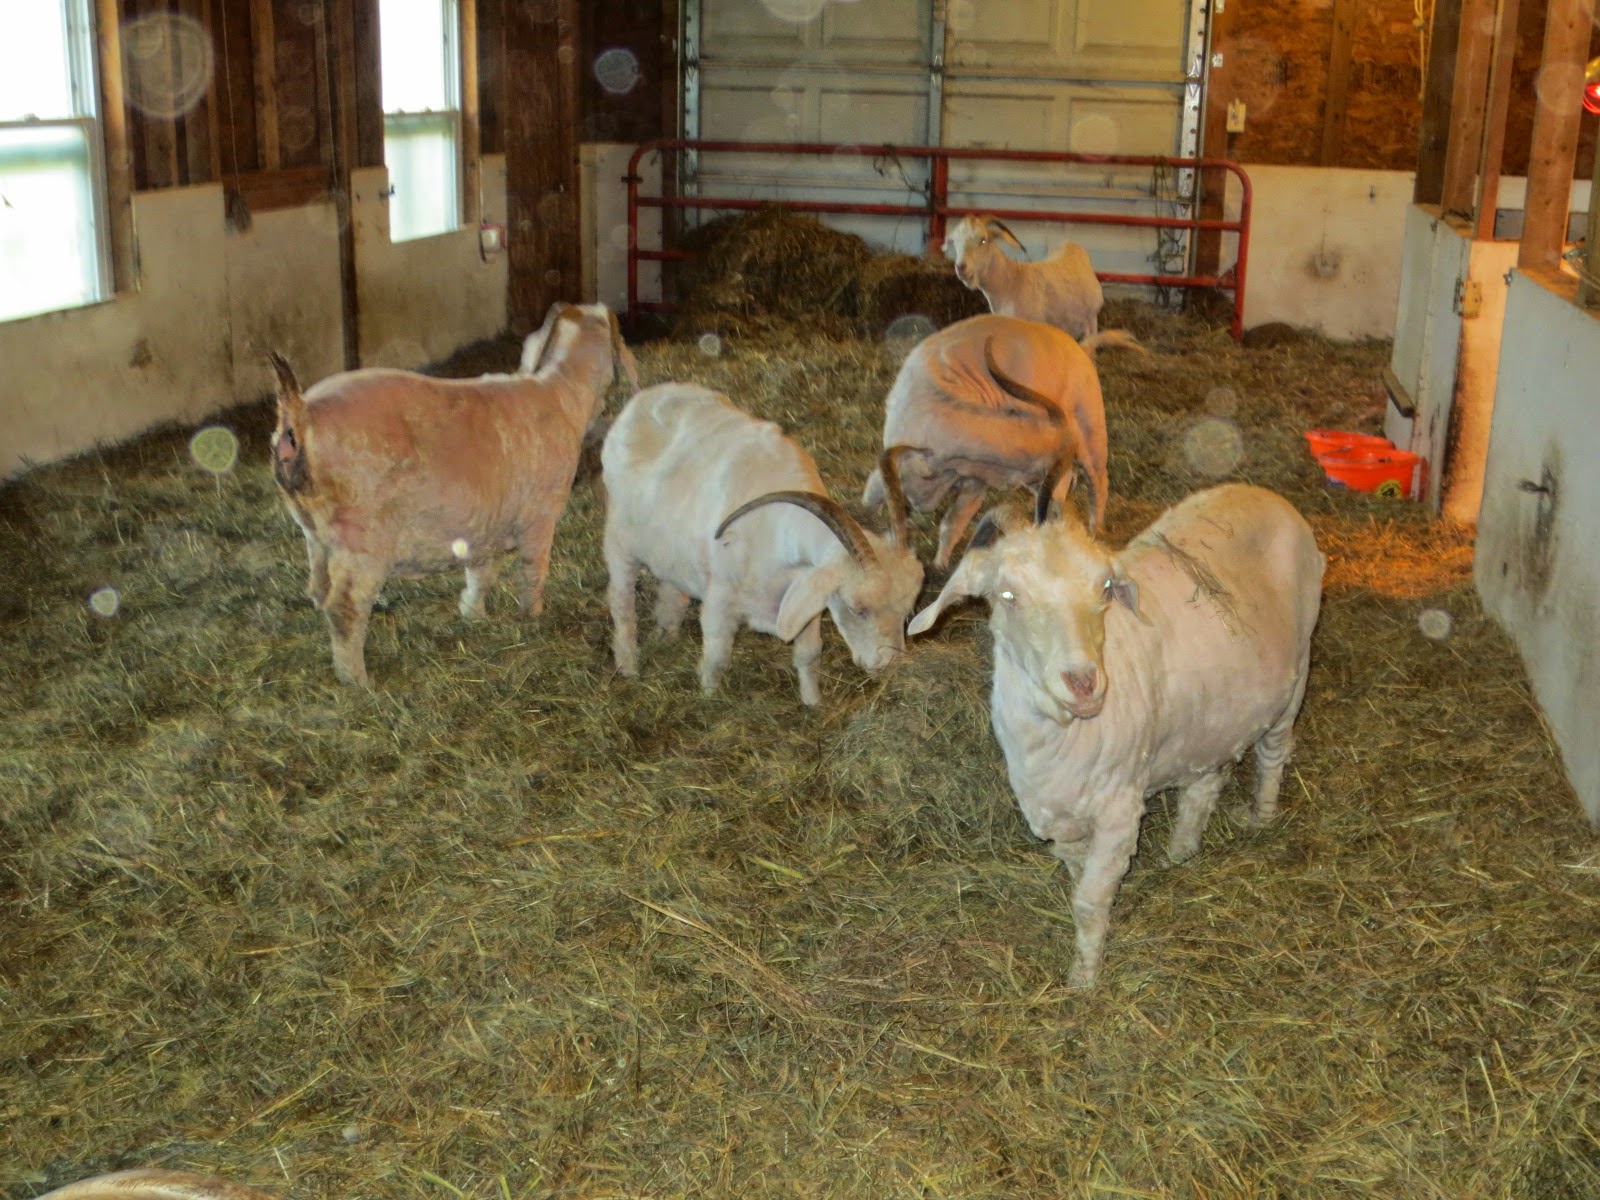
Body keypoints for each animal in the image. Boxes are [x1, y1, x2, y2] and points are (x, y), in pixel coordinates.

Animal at [270, 301, 637, 686]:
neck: (563, 391)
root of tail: (299, 412)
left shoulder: (484, 522)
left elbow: (481, 572)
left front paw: (473, 614)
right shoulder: (539, 514)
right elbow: (533, 571)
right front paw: (532, 618)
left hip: (315, 533)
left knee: (319, 591)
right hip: (362, 537)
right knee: (345, 607)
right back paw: (357, 680)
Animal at [601, 383, 924, 706]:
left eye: (908, 610)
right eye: (857, 609)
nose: (889, 666)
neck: (775, 532)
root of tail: (644, 397)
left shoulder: (803, 597)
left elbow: (809, 654)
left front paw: (813, 704)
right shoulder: (720, 600)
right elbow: (716, 660)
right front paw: (708, 698)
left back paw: (667, 630)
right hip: (619, 541)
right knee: (621, 602)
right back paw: (628, 665)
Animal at [861, 313, 1108, 569]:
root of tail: (1077, 347)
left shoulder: (975, 481)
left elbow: (951, 525)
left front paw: (940, 566)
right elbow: (870, 497)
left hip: (1091, 431)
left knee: (1099, 482)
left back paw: (1095, 529)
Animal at [908, 474, 1325, 987]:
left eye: (1105, 588)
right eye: (1008, 595)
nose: (1084, 682)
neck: (1058, 737)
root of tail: (1264, 493)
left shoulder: (1119, 812)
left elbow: (1090, 900)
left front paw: (1083, 982)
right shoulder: (1058, 818)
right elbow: (1079, 882)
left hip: (1297, 674)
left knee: (1273, 755)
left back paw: (1262, 820)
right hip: (1211, 715)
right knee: (1203, 784)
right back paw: (1181, 853)